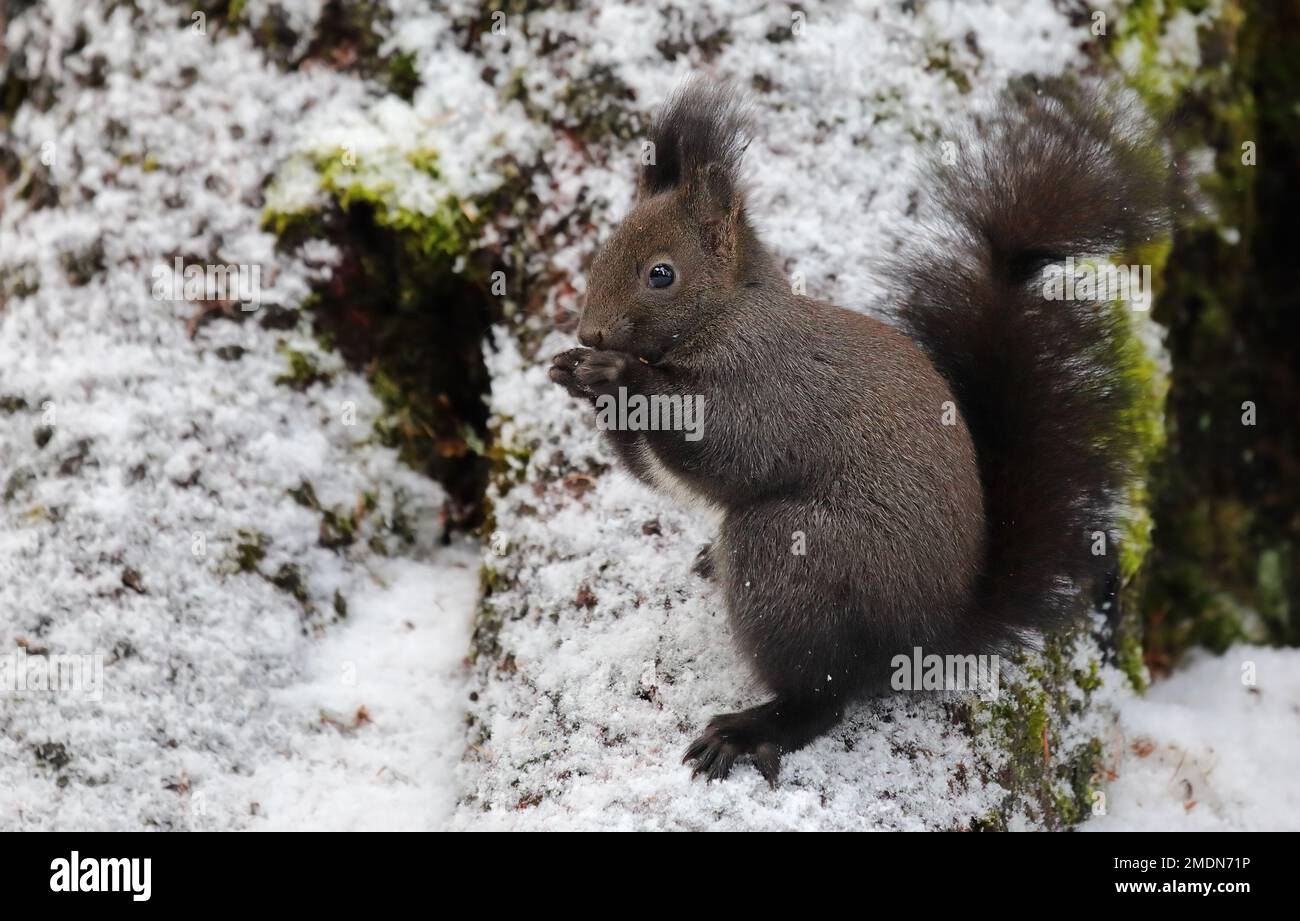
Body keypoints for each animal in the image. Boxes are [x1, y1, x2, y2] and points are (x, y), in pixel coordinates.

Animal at [549, 77, 1170, 785]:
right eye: (600, 250)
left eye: (661, 274)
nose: (592, 333)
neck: (729, 316)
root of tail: (928, 635)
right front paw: (575, 374)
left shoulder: (769, 390)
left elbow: (724, 449)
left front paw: (618, 376)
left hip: (796, 558)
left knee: (823, 696)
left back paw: (750, 730)